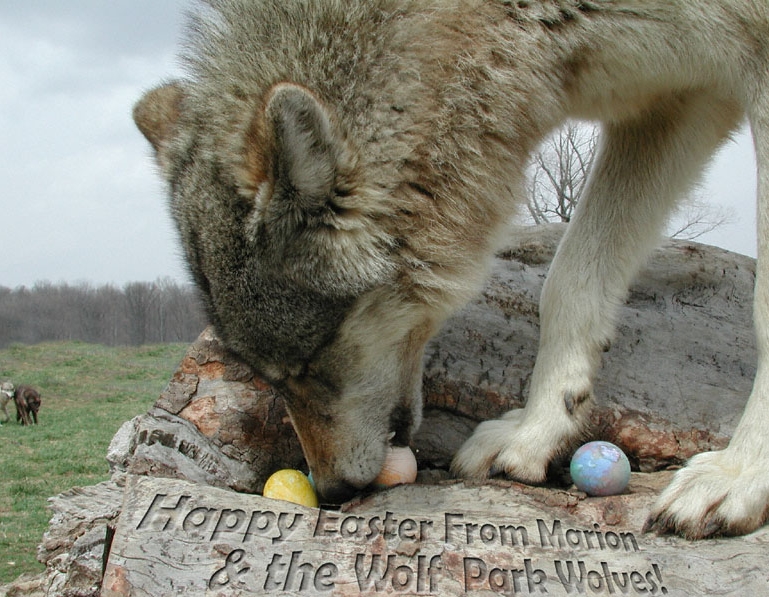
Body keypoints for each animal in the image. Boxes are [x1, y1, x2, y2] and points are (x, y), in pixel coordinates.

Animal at [134, 0, 769, 538]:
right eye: (271, 379)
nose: (334, 491)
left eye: (305, 366)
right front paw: (537, 430)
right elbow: (568, 280)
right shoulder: (673, 102)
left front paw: (741, 477)